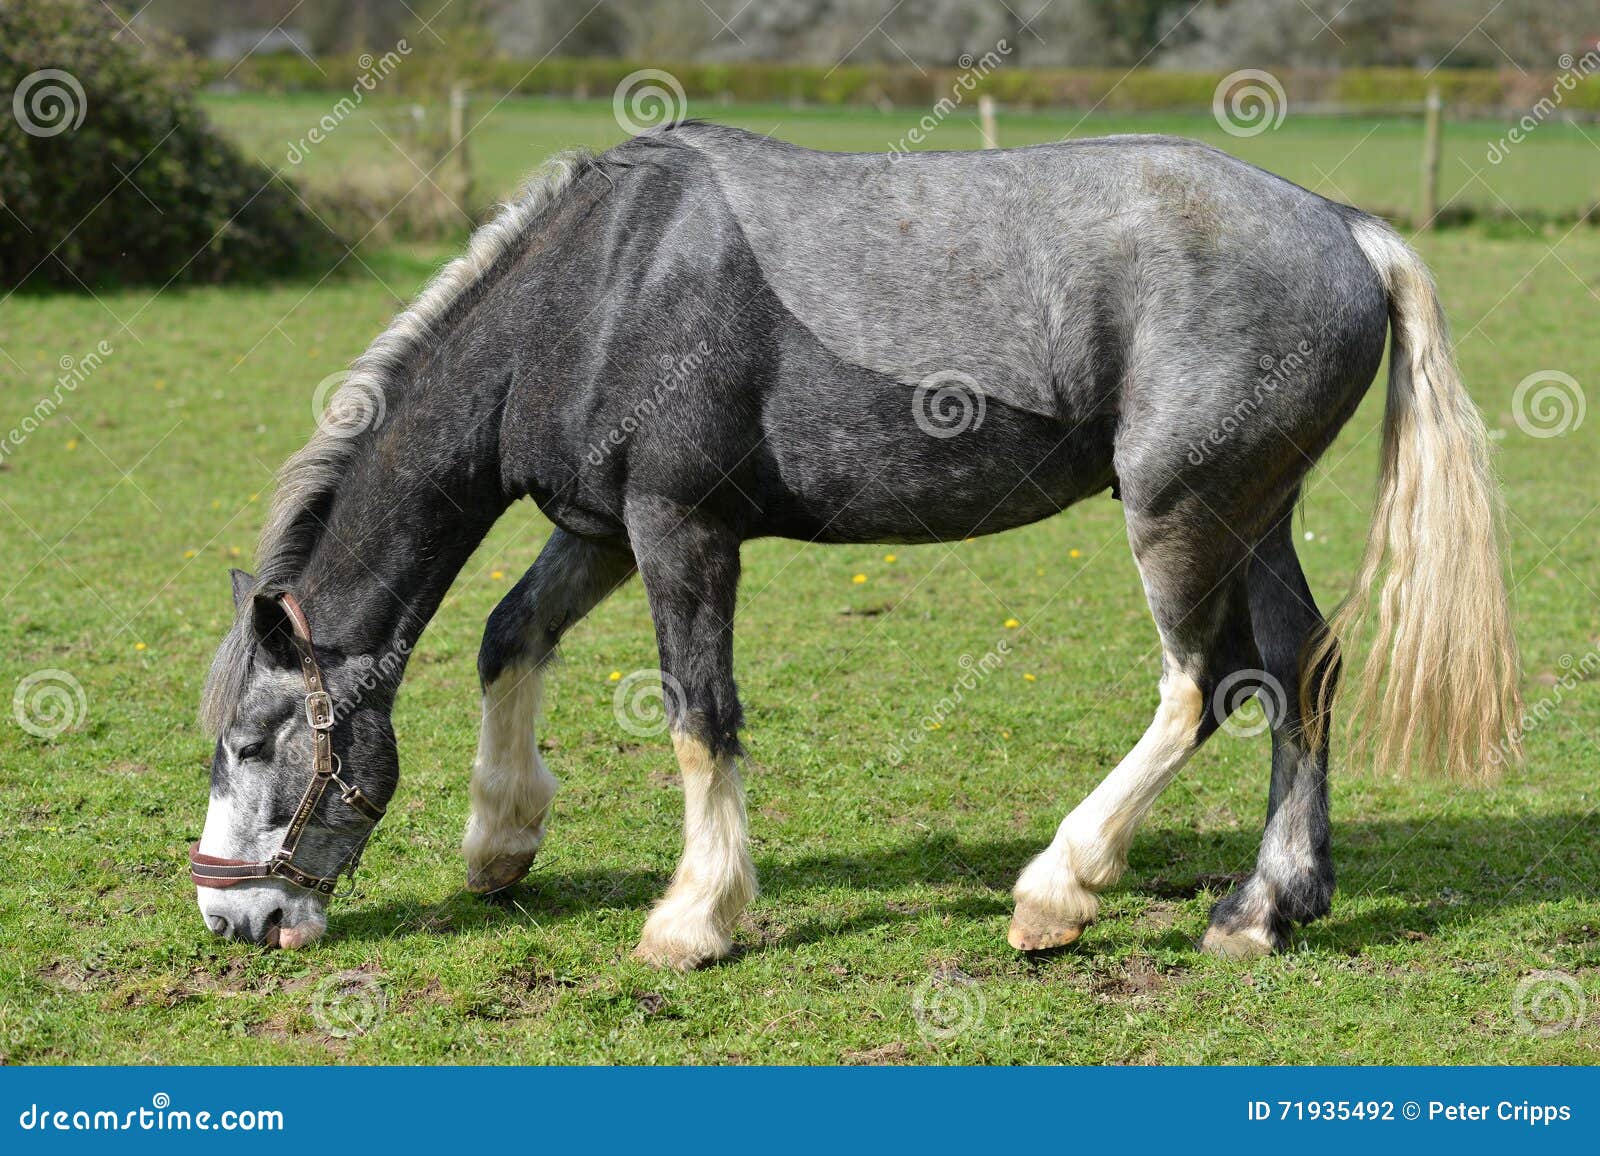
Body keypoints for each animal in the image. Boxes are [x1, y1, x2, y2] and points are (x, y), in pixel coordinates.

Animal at [191, 121, 1520, 968]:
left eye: (254, 744)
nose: (229, 920)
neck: (600, 289)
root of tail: (1344, 229)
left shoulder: (682, 530)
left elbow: (699, 717)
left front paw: (695, 919)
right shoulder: (606, 532)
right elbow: (506, 638)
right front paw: (502, 839)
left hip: (1179, 518)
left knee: (1203, 686)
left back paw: (1059, 888)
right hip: (1255, 515)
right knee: (1301, 671)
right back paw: (1266, 905)